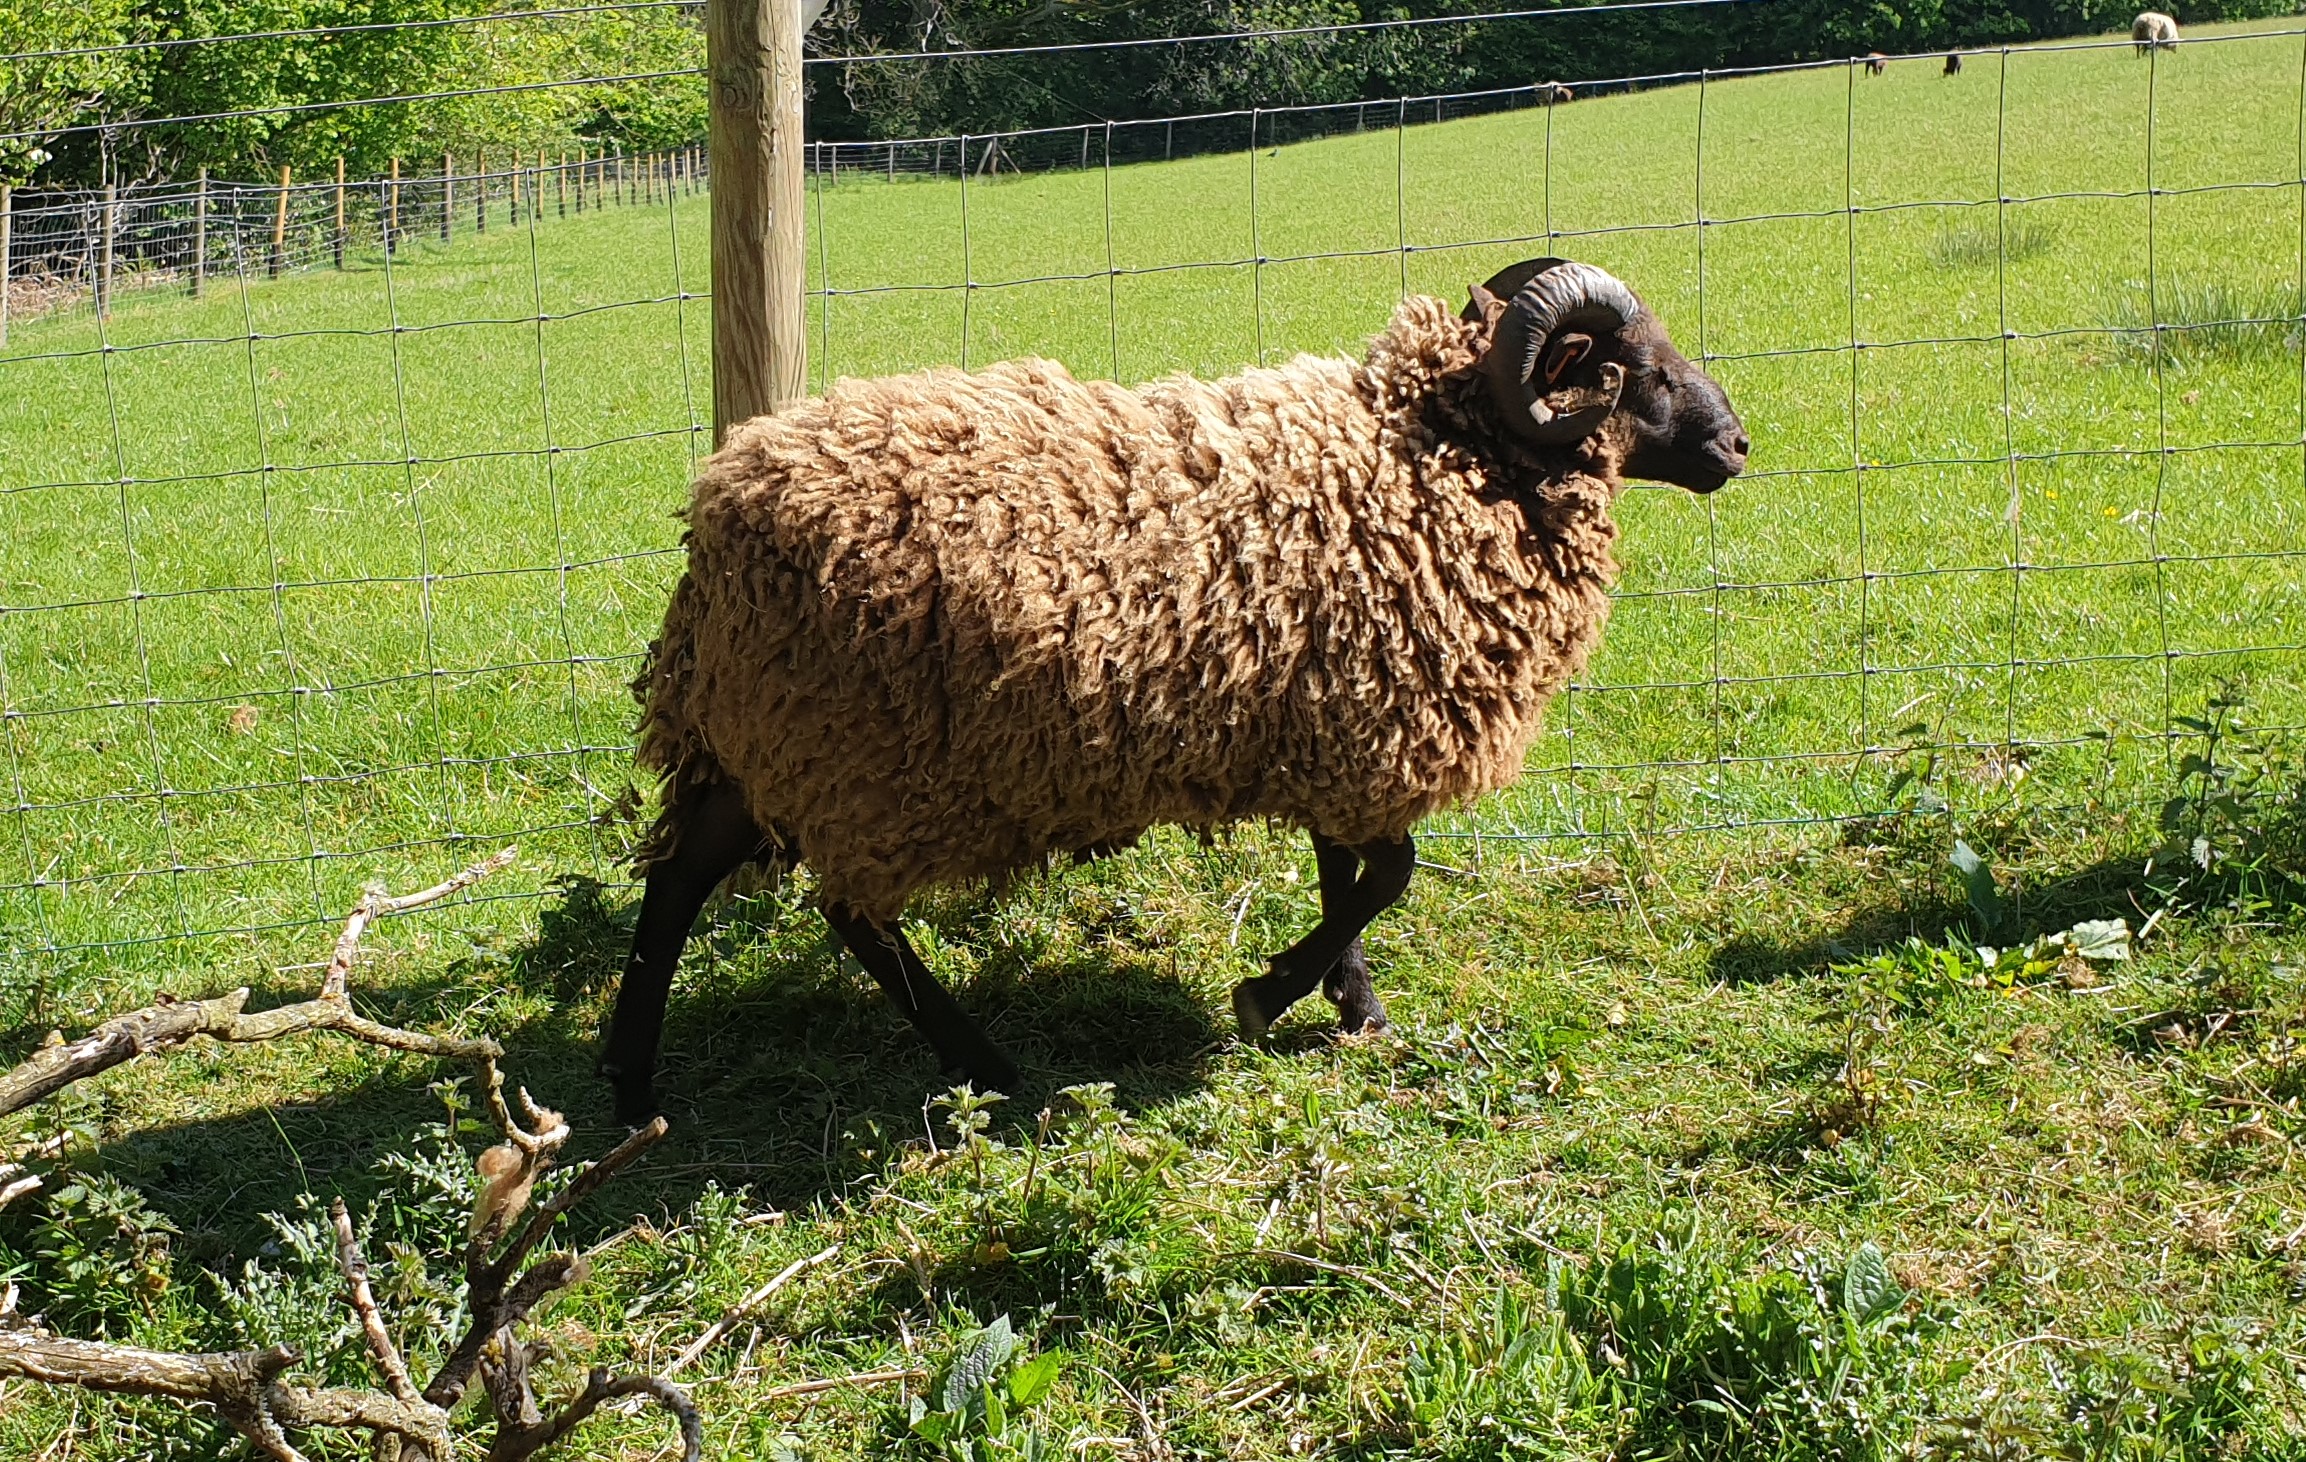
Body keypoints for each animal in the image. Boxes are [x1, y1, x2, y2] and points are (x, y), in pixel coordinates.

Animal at [596, 257, 1750, 1123]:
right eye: (1639, 368)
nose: (1737, 444)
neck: (1437, 458)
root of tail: (719, 517)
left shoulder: (1334, 735)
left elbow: (1350, 882)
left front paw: (1353, 1006)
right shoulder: (1366, 732)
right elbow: (1386, 878)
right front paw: (1267, 995)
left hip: (774, 733)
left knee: (684, 872)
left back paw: (631, 1080)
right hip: (861, 756)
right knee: (847, 912)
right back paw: (985, 1065)